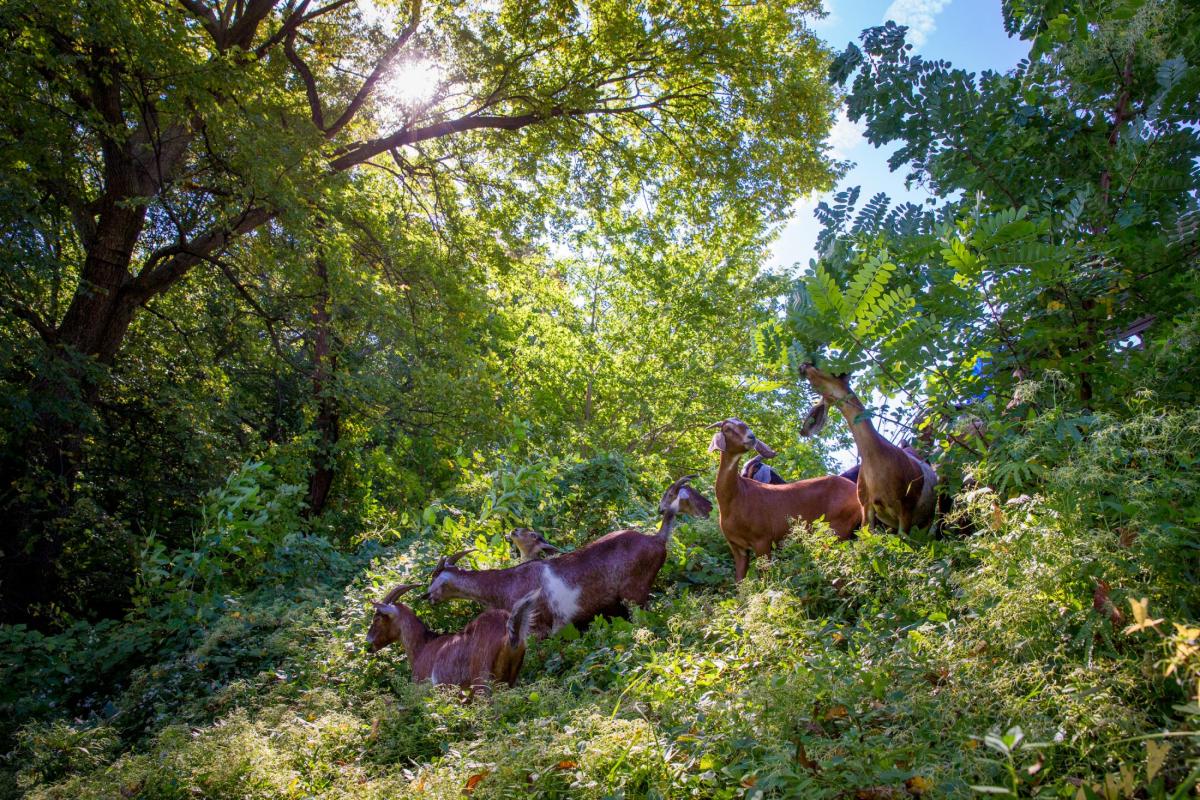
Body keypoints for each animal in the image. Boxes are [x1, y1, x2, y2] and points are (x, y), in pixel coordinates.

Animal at [366, 583, 540, 696]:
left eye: (377, 618)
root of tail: (510, 636)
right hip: (511, 680)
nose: (369, 644)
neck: (423, 646)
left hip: (482, 681)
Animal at [425, 476, 712, 634]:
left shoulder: (539, 626)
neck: (506, 583)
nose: (426, 596)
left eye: (438, 578)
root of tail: (657, 539)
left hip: (636, 594)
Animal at [708, 418, 862, 581]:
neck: (737, 496)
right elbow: (739, 580)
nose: (751, 437)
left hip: (837, 529)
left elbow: (765, 577)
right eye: (727, 429)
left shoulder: (763, 541)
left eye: (746, 426)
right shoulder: (737, 546)